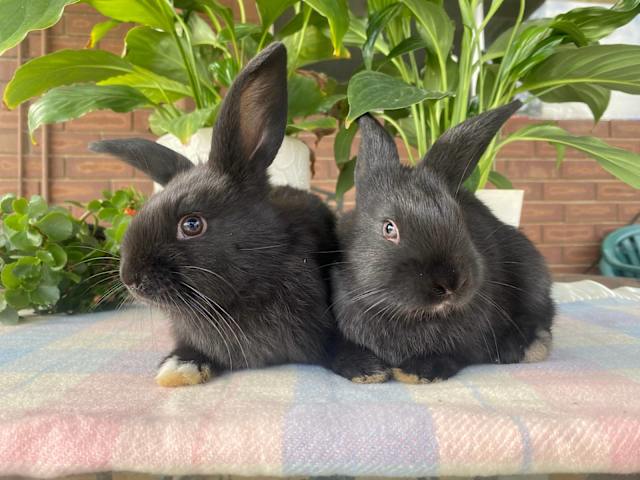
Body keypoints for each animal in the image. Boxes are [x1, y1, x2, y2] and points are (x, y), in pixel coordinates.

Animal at [331, 100, 555, 384]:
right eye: (389, 228)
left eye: (460, 218)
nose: (450, 284)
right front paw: (366, 370)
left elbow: (453, 354)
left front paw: (418, 371)